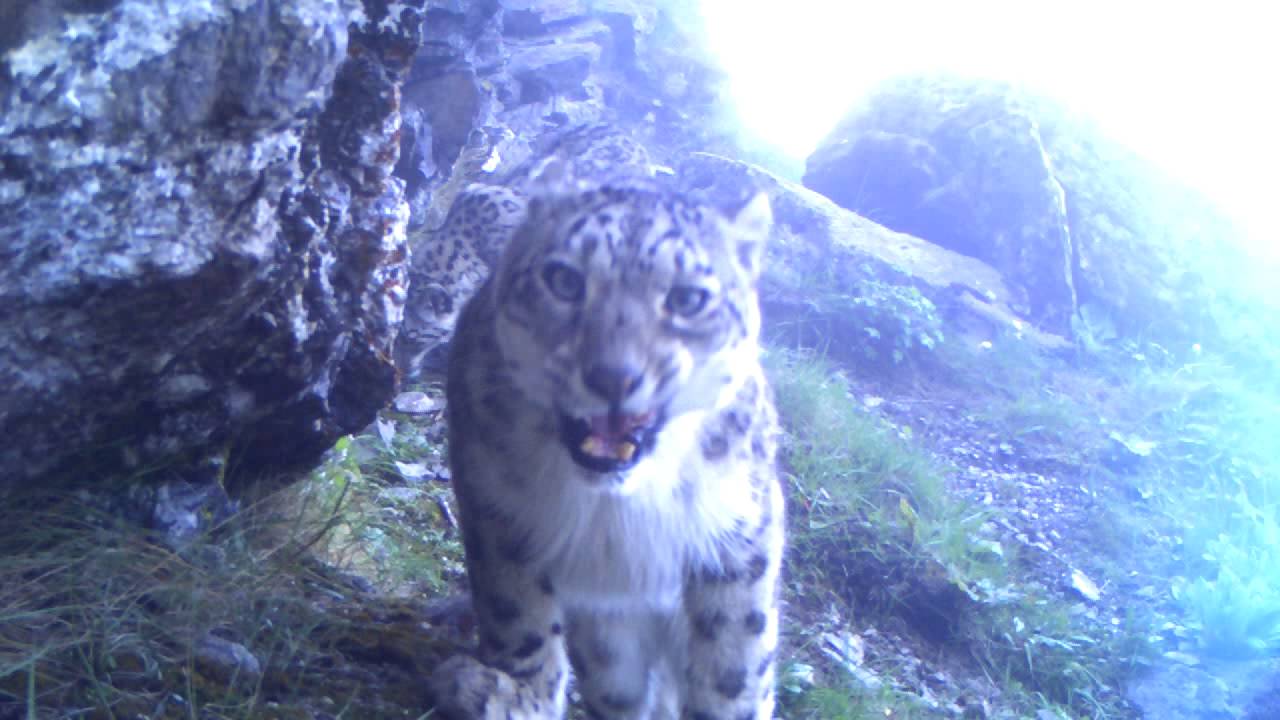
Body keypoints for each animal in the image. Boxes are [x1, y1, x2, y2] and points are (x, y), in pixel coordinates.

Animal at [429, 174, 784, 720]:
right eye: (564, 280)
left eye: (687, 299)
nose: (613, 376)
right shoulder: (495, 504)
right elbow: (516, 608)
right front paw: (520, 693)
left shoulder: (739, 531)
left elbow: (734, 654)